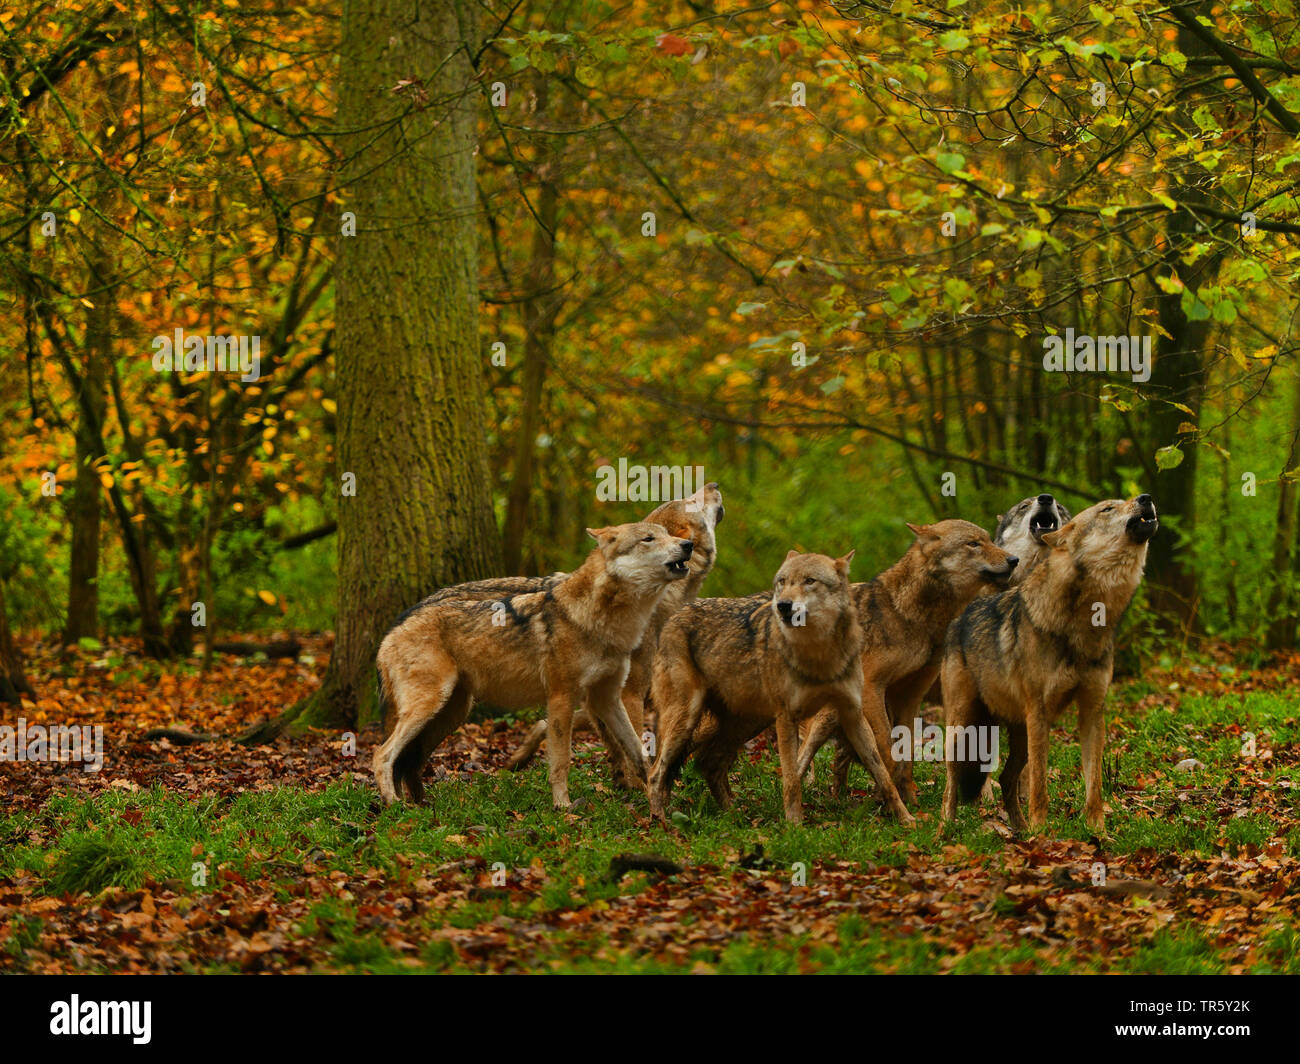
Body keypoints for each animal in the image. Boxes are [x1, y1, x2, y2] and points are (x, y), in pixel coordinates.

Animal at [372, 521, 693, 809]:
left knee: (409, 761)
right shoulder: (562, 697)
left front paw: (654, 793)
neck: (598, 619)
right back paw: (394, 805)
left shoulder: (606, 698)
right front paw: (563, 806)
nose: (688, 544)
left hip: (451, 714)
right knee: (382, 755)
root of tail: (391, 631)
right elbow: (561, 761)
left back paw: (422, 804)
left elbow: (638, 752)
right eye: (649, 538)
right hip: (429, 707)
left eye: (668, 534)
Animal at [647, 550, 914, 825]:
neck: (820, 656)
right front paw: (795, 825)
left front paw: (907, 819)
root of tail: (674, 616)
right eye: (782, 582)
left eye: (809, 581)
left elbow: (883, 774)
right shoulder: (787, 717)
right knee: (656, 772)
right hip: (689, 719)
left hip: (747, 723)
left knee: (709, 763)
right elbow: (792, 778)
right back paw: (662, 822)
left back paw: (735, 816)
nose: (783, 605)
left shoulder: (853, 715)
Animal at [790, 521, 1019, 805]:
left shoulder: (910, 696)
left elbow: (906, 754)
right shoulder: (872, 689)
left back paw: (840, 799)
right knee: (802, 760)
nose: (1014, 559)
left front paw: (910, 800)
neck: (915, 618)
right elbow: (888, 752)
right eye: (973, 544)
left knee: (839, 760)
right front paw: (889, 800)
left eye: (988, 540)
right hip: (827, 718)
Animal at [941, 495, 1158, 833]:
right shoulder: (1039, 713)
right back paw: (945, 830)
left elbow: (1093, 785)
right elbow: (1040, 786)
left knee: (1007, 778)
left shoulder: (1092, 711)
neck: (1085, 622)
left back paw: (1019, 829)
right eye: (1107, 509)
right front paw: (1042, 833)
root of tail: (959, 619)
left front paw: (1097, 832)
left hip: (1016, 735)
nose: (1147, 498)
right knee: (952, 780)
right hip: (963, 725)